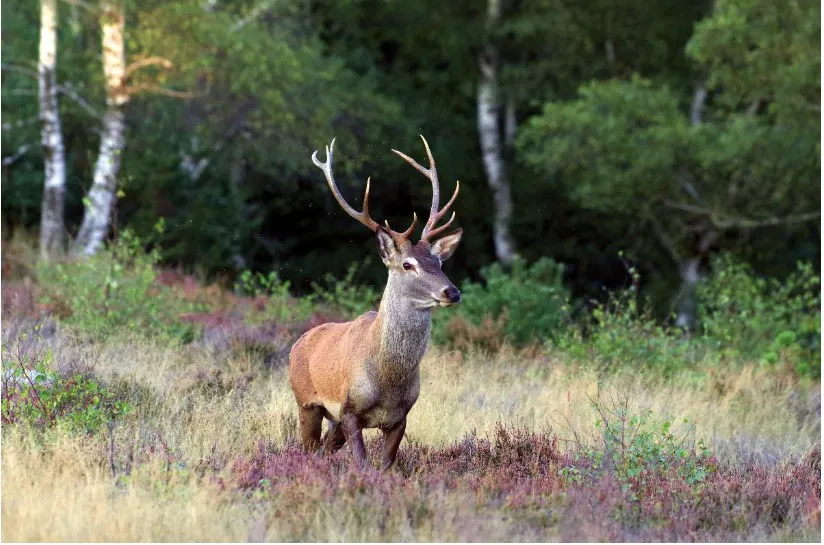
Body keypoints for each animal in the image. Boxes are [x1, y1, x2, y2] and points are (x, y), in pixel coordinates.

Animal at [288, 135, 463, 472]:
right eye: (407, 265)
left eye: (438, 262)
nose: (452, 292)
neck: (388, 381)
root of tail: (300, 341)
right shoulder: (349, 410)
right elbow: (362, 464)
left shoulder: (401, 417)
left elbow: (386, 466)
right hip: (306, 402)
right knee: (308, 449)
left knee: (323, 449)